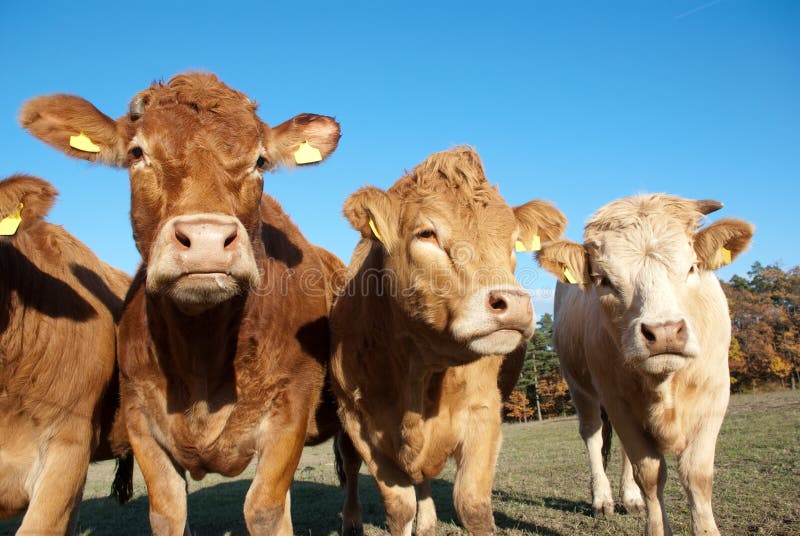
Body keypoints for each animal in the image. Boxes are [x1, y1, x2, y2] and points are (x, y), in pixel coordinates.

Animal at [20, 72, 343, 535]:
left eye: (260, 161)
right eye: (138, 152)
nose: (207, 239)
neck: (202, 352)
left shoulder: (292, 406)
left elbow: (264, 508)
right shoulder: (139, 416)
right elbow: (168, 510)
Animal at [330, 147, 567, 536]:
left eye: (512, 241)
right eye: (426, 233)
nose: (514, 304)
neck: (419, 373)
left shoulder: (484, 411)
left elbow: (472, 506)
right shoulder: (358, 420)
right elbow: (398, 509)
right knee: (350, 469)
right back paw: (352, 521)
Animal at [535, 194, 754, 536]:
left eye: (692, 267)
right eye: (603, 280)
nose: (664, 332)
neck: (665, 386)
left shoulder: (715, 395)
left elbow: (696, 475)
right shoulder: (618, 402)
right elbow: (650, 475)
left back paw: (630, 499)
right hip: (579, 386)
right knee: (593, 434)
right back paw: (603, 499)